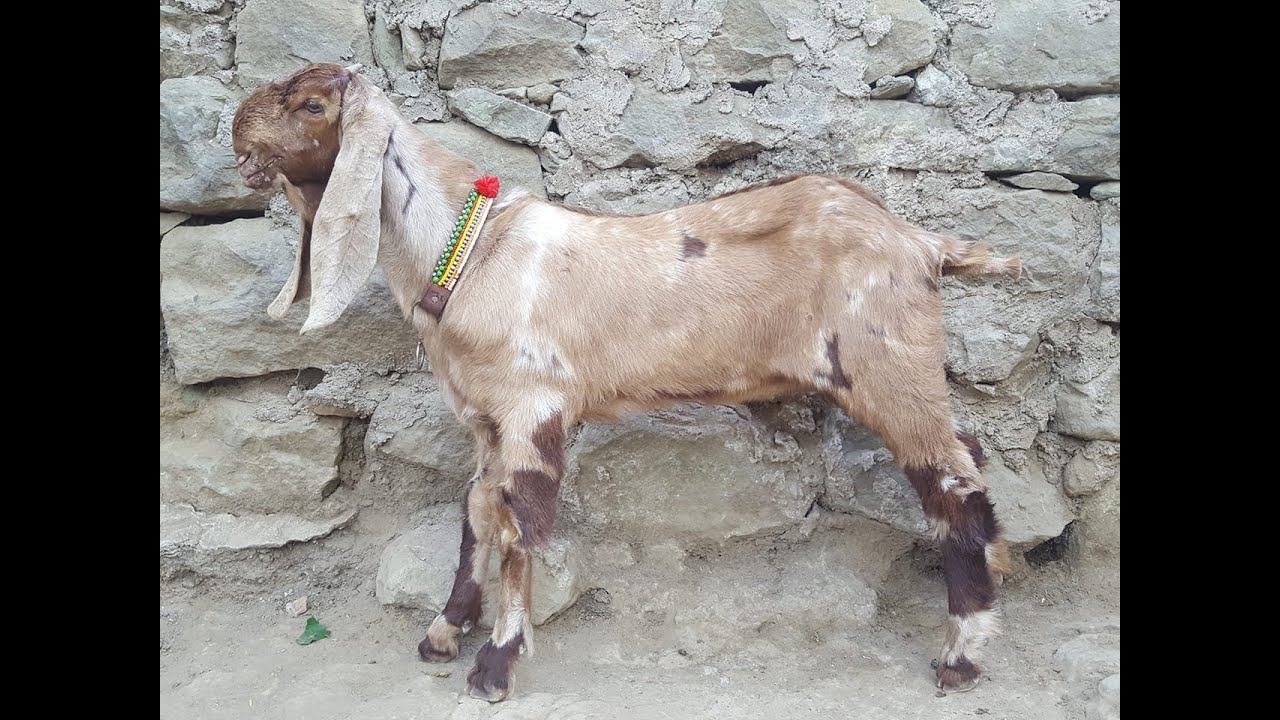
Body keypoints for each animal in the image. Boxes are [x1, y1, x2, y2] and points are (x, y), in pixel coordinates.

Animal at [232, 63, 1021, 702]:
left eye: (310, 105)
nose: (237, 131)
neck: (472, 249)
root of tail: (922, 243)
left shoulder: (532, 409)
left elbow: (518, 530)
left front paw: (495, 666)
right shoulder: (484, 418)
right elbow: (476, 515)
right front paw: (444, 632)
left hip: (887, 369)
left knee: (957, 490)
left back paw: (961, 659)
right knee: (969, 459)